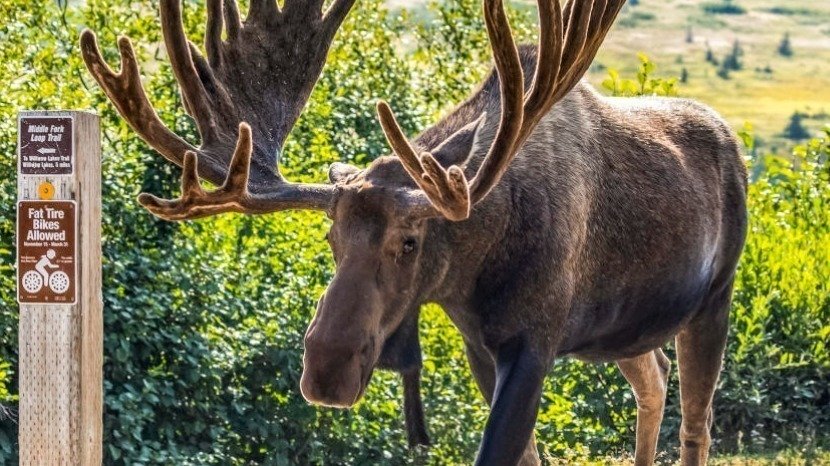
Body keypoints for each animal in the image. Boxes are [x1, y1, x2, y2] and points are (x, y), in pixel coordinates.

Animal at [82, 0, 749, 464]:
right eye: (330, 239)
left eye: (410, 241)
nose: (325, 370)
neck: (476, 268)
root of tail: (733, 143)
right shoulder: (483, 344)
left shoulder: (534, 340)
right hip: (623, 330)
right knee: (654, 377)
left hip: (714, 300)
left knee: (697, 421)